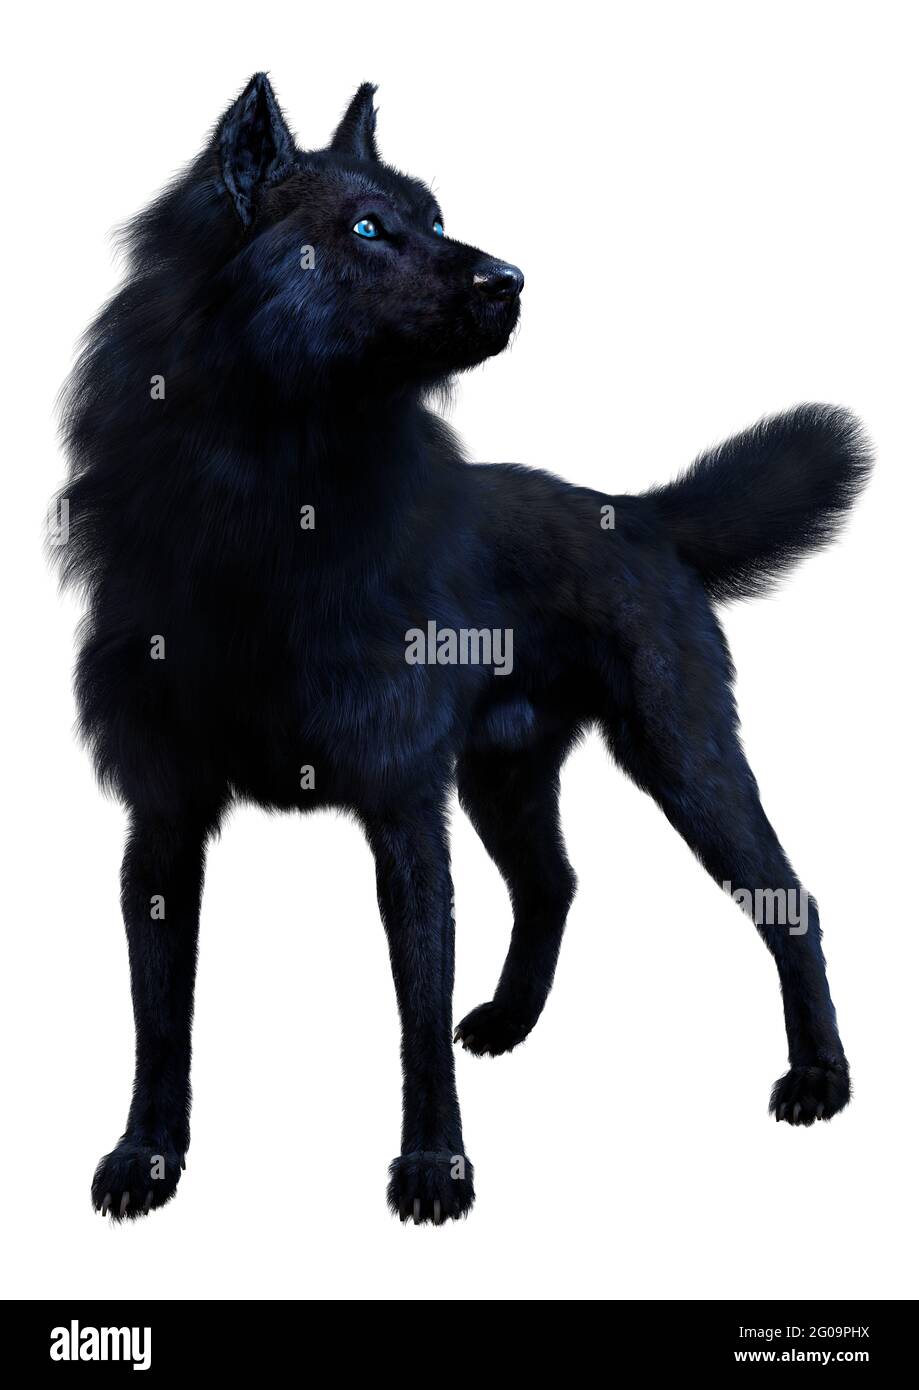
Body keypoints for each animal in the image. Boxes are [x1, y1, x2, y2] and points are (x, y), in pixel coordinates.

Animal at [54, 74, 870, 1224]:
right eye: (365, 229)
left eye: (436, 220)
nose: (511, 280)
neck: (268, 512)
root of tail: (637, 511)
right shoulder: (163, 822)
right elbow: (159, 1024)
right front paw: (146, 1157)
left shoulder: (403, 809)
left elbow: (411, 1022)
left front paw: (433, 1167)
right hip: (506, 781)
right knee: (554, 885)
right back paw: (508, 1022)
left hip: (686, 765)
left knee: (789, 900)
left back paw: (819, 1078)